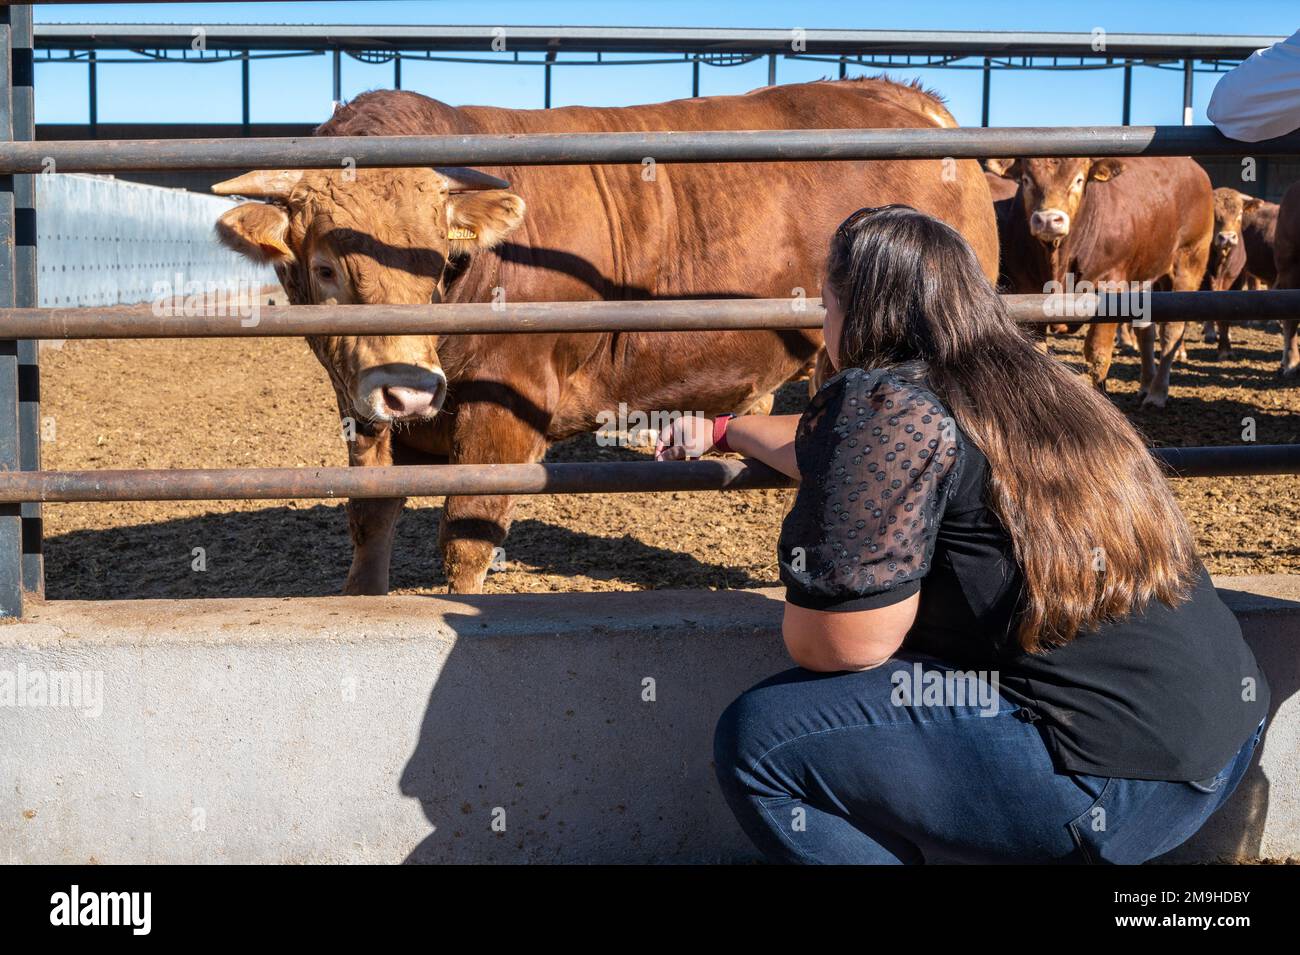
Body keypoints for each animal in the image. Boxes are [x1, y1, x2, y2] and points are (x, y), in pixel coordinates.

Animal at [212, 80, 999, 595]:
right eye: (324, 267)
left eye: (439, 260)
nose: (408, 390)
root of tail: (906, 97)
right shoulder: (363, 412)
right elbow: (370, 518)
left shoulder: (506, 410)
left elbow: (466, 540)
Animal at [986, 156, 1213, 407]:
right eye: (1026, 179)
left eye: (1078, 179)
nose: (1047, 220)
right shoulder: (1028, 293)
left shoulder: (1109, 289)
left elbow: (1098, 355)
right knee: (1146, 329)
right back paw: (1146, 385)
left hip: (1189, 262)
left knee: (1171, 331)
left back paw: (1157, 392)